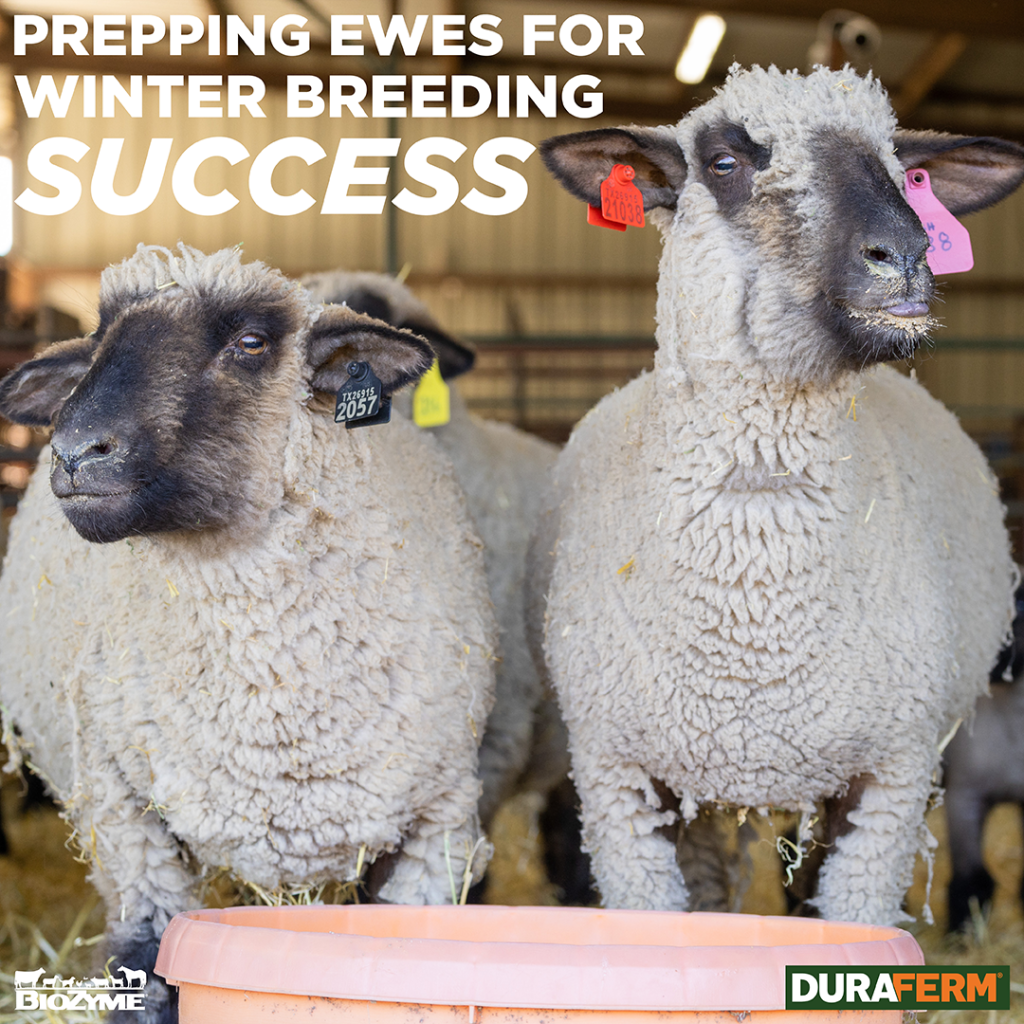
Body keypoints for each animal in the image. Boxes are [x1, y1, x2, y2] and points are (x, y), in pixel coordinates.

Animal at [0, 244, 496, 1022]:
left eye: (252, 342)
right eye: (99, 342)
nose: (77, 452)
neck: (271, 708)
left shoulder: (437, 829)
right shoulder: (126, 824)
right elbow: (145, 976)